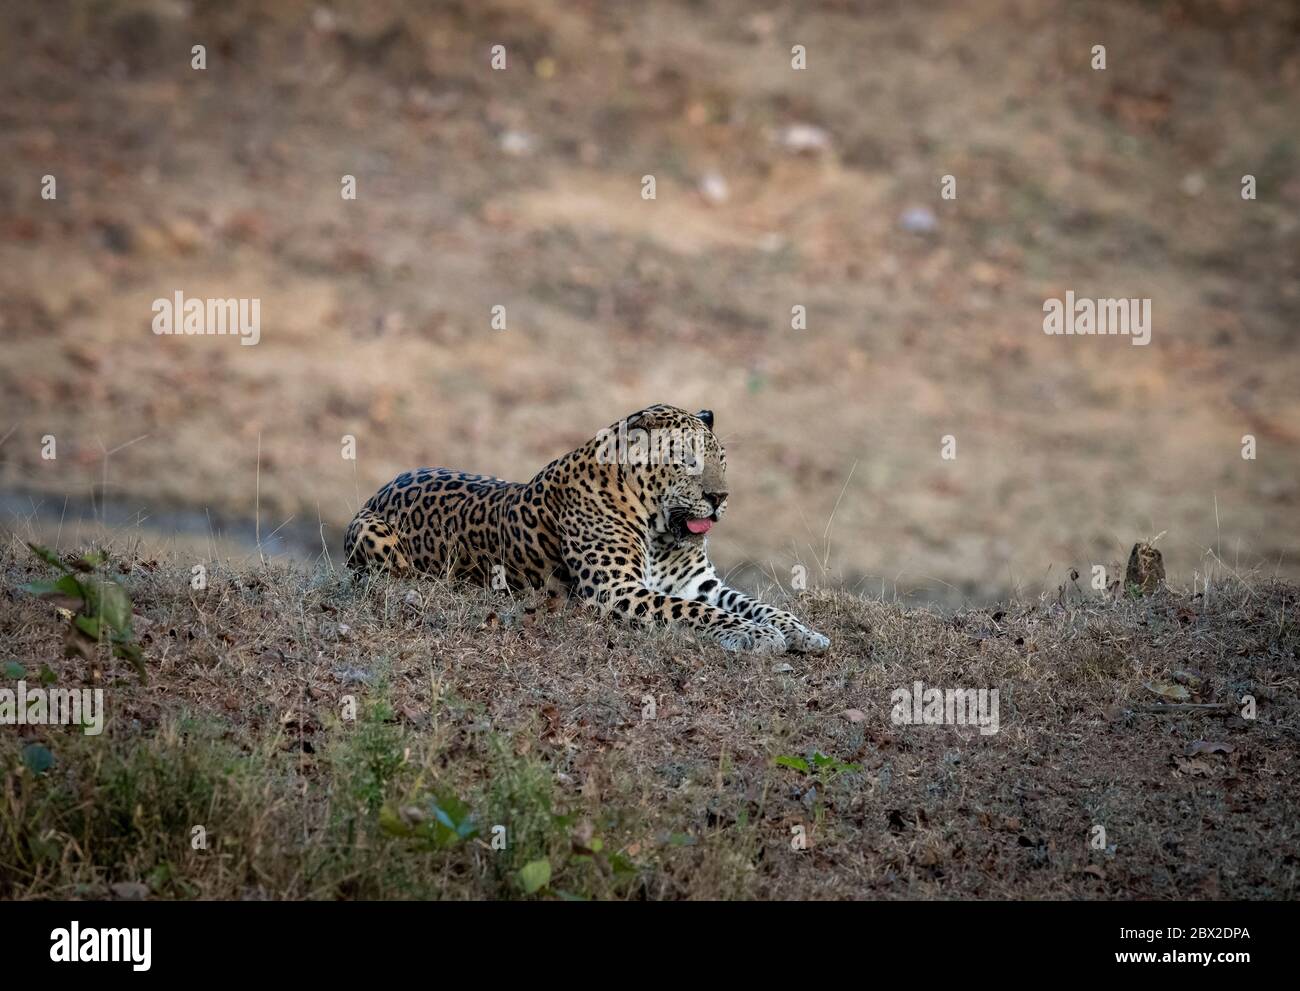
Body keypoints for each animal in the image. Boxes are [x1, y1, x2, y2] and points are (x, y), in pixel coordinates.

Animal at [344, 404, 830, 654]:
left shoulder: (699, 583)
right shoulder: (616, 590)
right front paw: (757, 636)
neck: (659, 529)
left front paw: (802, 633)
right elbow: (698, 613)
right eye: (686, 459)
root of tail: (387, 483)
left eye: (721, 459)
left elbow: (758, 605)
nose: (721, 497)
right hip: (372, 534)